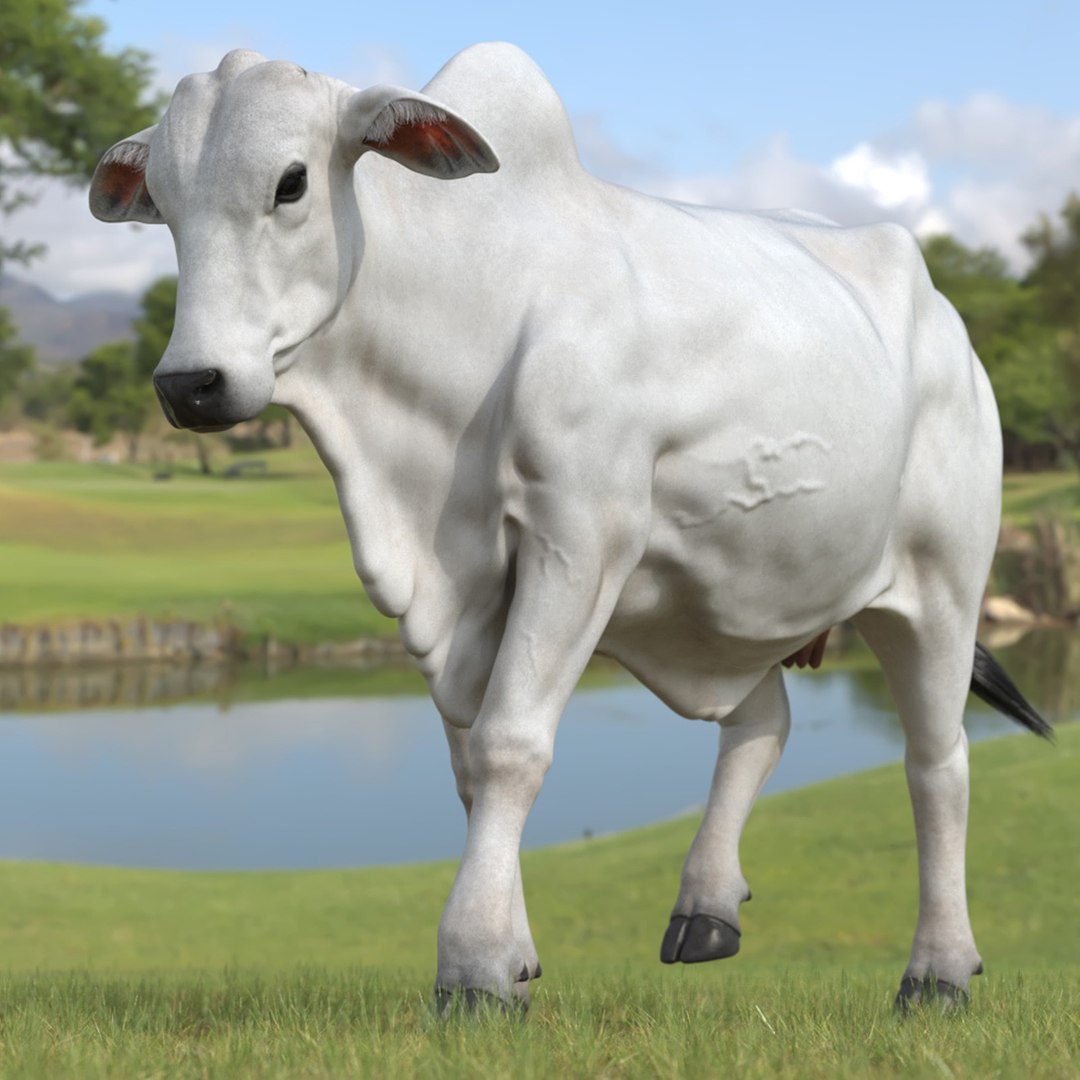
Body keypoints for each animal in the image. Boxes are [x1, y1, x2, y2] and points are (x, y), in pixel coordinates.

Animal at [89, 42, 1049, 1011]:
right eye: (162, 203)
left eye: (290, 182)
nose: (190, 383)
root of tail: (948, 321)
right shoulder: (464, 588)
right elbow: (471, 762)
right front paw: (513, 956)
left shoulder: (576, 538)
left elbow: (511, 746)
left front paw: (474, 965)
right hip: (717, 598)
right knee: (764, 720)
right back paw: (708, 907)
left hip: (940, 581)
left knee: (937, 764)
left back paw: (938, 968)